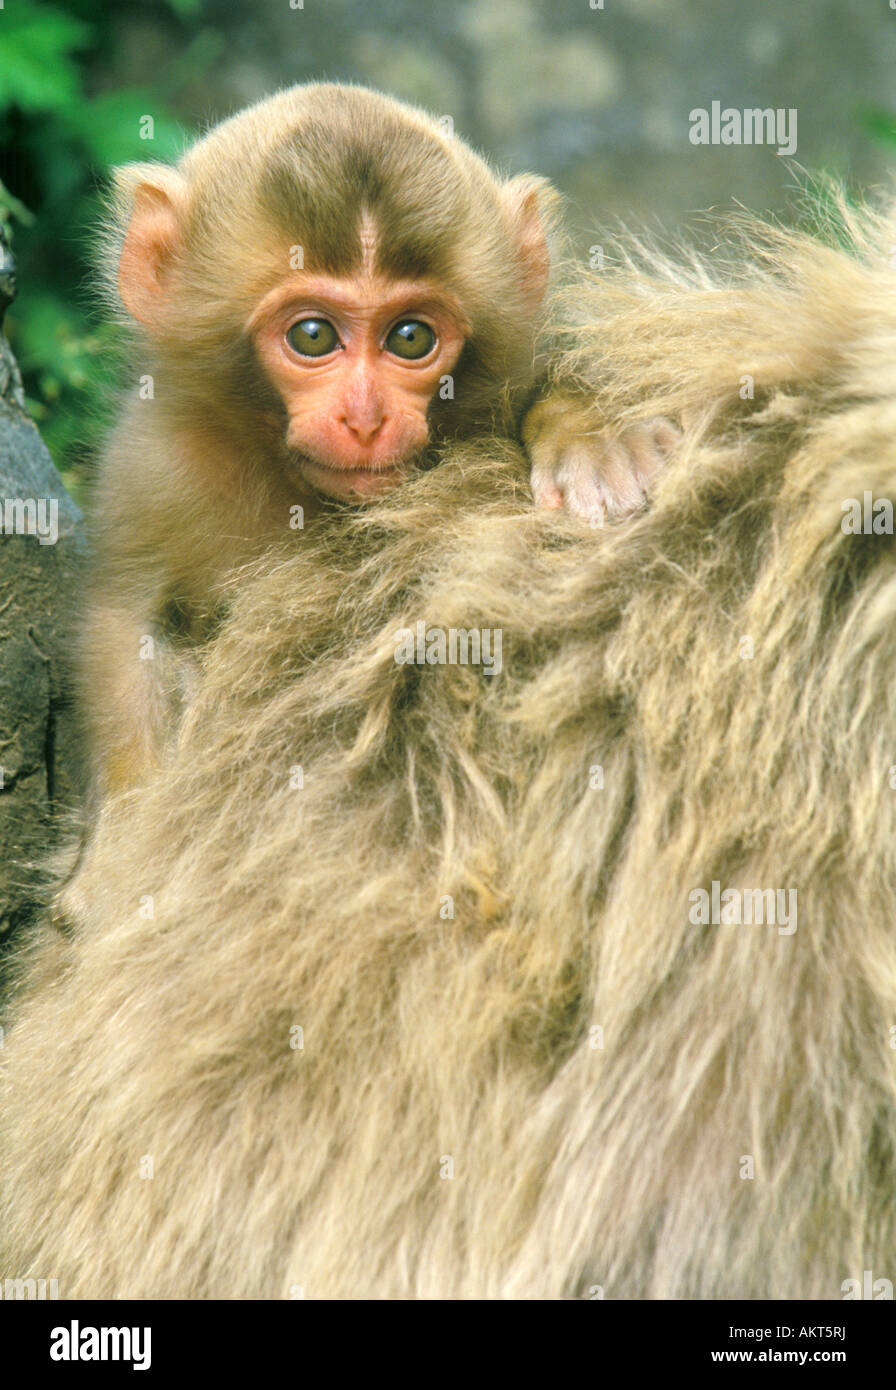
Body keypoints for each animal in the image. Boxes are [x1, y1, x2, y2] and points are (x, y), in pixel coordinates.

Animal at [83, 81, 674, 799]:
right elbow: (128, 628)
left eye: (410, 337)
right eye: (312, 335)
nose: (365, 420)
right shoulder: (153, 471)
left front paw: (593, 437)